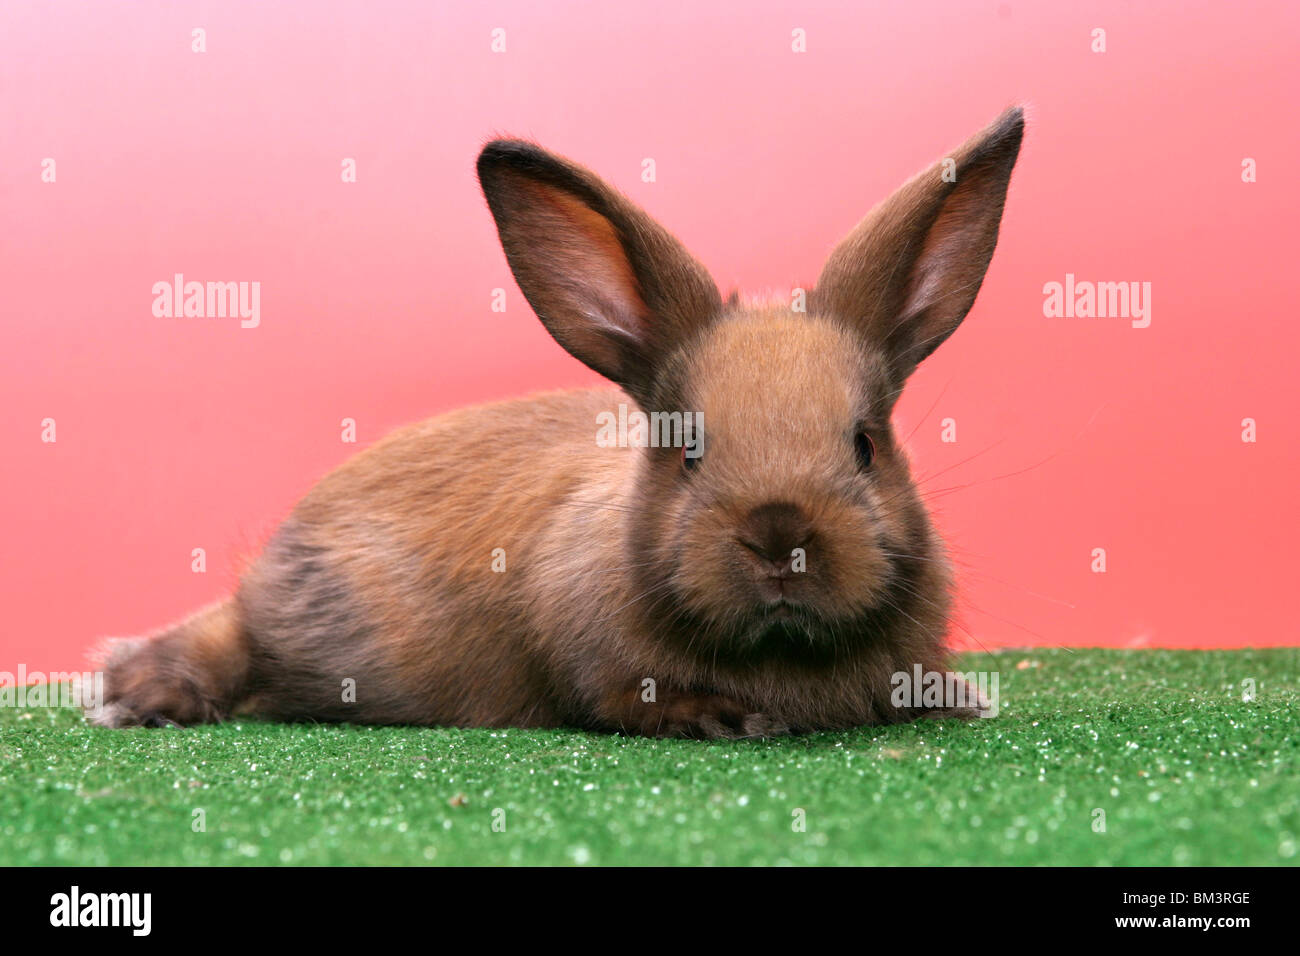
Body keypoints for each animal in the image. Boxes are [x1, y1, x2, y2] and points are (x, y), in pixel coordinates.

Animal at [92, 107, 1024, 738]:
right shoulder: (592, 663)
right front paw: (723, 716)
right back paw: (137, 698)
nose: (779, 535)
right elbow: (623, 698)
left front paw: (961, 700)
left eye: (866, 444)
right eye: (688, 447)